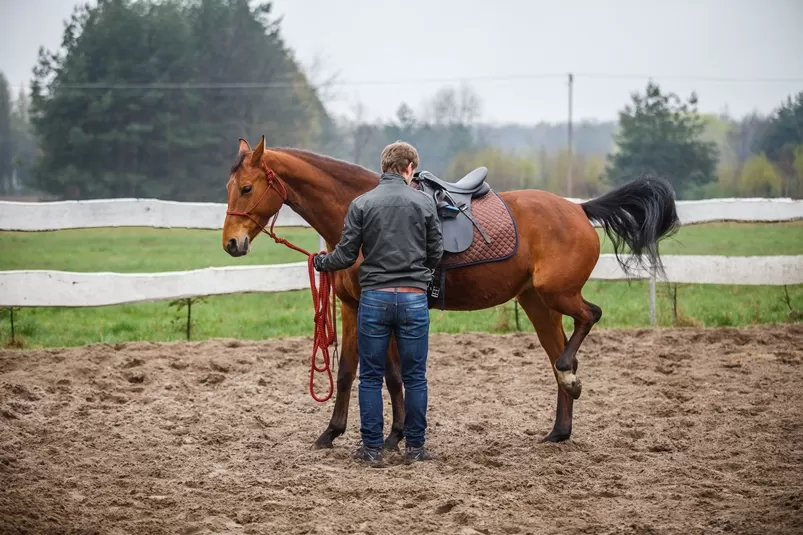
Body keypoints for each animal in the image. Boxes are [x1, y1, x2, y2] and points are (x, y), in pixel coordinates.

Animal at [221, 136, 680, 450]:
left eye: (246, 188)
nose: (231, 244)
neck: (361, 209)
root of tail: (578, 209)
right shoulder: (353, 307)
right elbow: (352, 371)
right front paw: (331, 433)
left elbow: (391, 375)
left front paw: (395, 436)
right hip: (537, 302)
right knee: (559, 353)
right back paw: (559, 430)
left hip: (557, 294)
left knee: (588, 320)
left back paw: (570, 380)